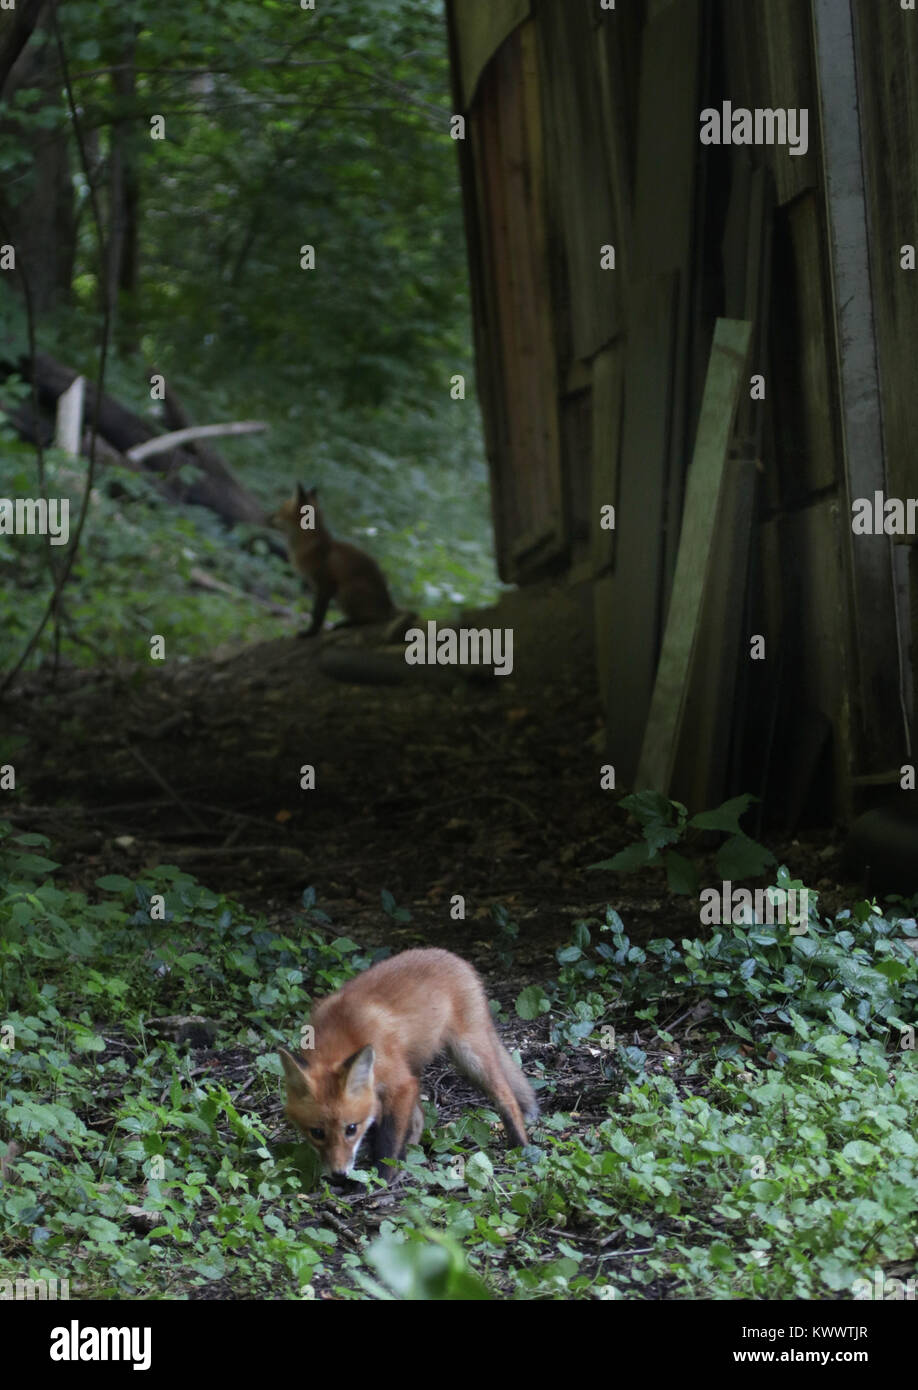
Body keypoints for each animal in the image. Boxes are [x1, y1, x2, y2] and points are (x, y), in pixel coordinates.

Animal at [269, 482, 401, 638]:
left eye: (281, 509)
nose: (267, 517)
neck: (308, 547)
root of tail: (389, 604)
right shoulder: (316, 585)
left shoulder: (325, 584)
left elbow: (317, 614)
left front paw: (310, 632)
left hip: (345, 593)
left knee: (372, 620)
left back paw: (347, 623)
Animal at [278, 948, 538, 1180]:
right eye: (317, 1133)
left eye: (351, 1128)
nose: (339, 1174)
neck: (343, 1034)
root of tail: (456, 958)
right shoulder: (387, 1090)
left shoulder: (400, 1084)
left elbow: (389, 1140)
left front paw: (382, 1178)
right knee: (418, 1118)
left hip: (469, 1056)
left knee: (506, 1095)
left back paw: (522, 1146)